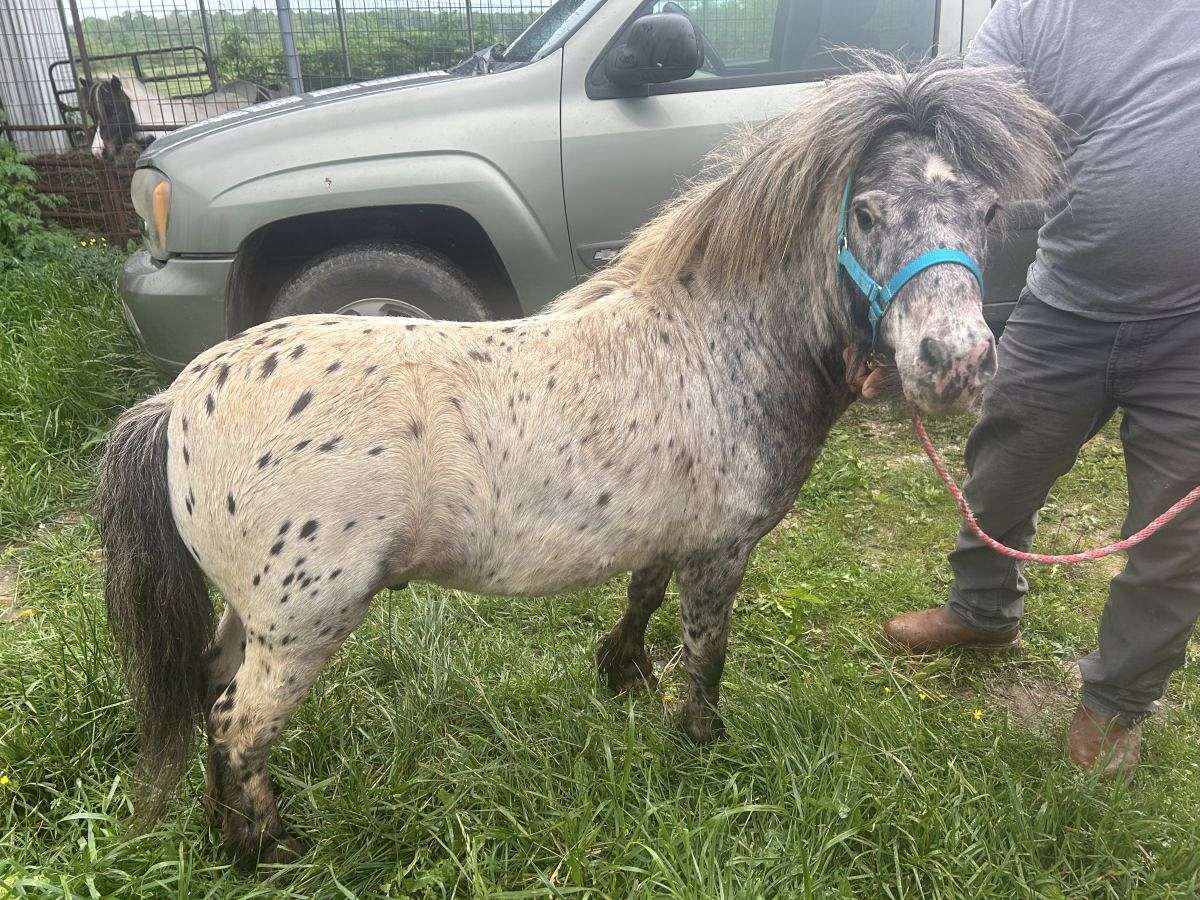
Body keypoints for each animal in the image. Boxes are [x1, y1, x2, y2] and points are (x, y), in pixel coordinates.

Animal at [98, 56, 1061, 867]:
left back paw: (222, 828)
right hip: (304, 623)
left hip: (252, 612)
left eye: (986, 213)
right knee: (238, 723)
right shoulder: (722, 551)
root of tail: (180, 399)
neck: (717, 346)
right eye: (866, 213)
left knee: (209, 691)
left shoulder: (669, 534)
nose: (955, 363)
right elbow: (706, 649)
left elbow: (643, 596)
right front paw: (699, 741)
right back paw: (263, 847)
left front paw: (621, 674)